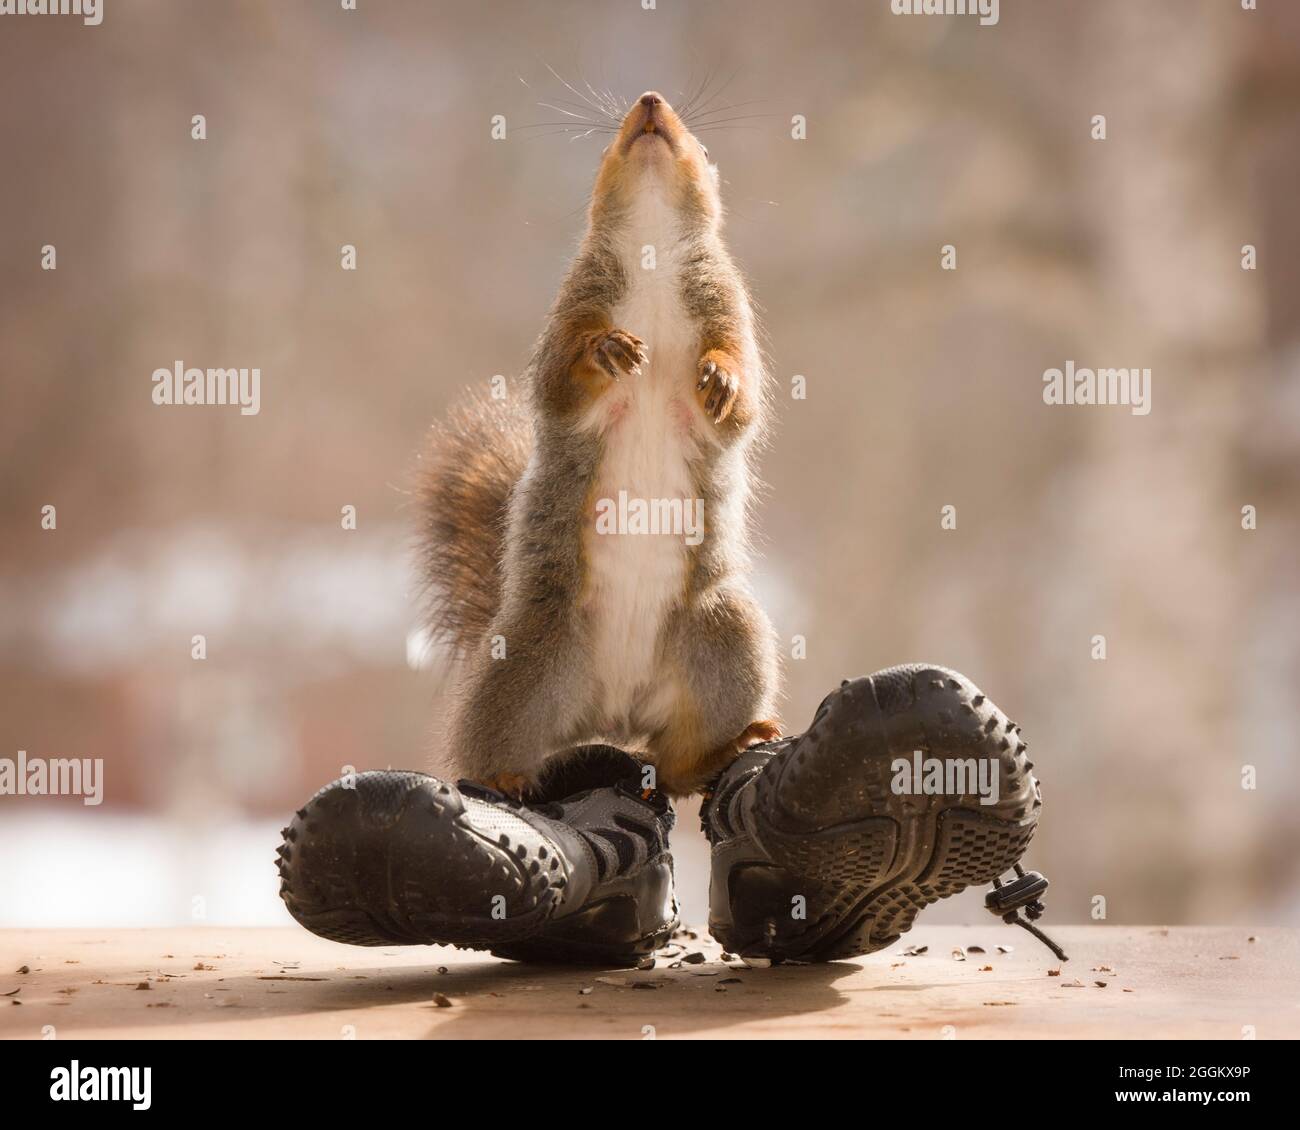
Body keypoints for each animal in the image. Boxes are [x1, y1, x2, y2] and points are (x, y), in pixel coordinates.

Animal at [417, 91, 780, 798]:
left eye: (697, 142)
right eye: (610, 145)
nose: (650, 101)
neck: (653, 248)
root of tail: (616, 713)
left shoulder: (728, 309)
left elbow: (738, 405)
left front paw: (722, 379)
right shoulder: (573, 309)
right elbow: (561, 384)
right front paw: (607, 351)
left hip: (725, 637)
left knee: (675, 764)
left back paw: (724, 748)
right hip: (529, 658)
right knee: (487, 744)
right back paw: (499, 781)